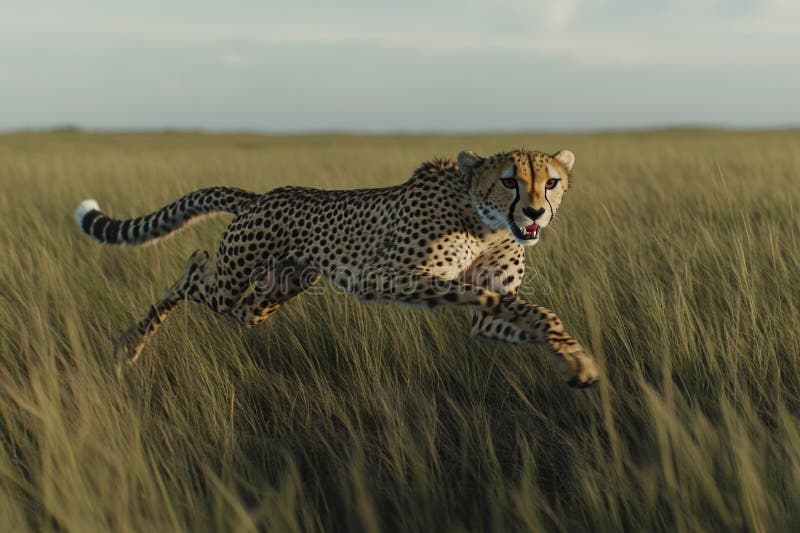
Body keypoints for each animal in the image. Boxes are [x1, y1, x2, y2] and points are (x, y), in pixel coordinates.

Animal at [74, 148, 599, 387]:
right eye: (510, 181)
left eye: (552, 182)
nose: (535, 213)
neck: (486, 223)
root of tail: (261, 195)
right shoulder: (395, 277)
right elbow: (492, 295)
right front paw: (571, 356)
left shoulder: (481, 319)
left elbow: (530, 312)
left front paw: (575, 359)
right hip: (233, 275)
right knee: (196, 271)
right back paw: (131, 344)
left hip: (282, 286)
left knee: (240, 311)